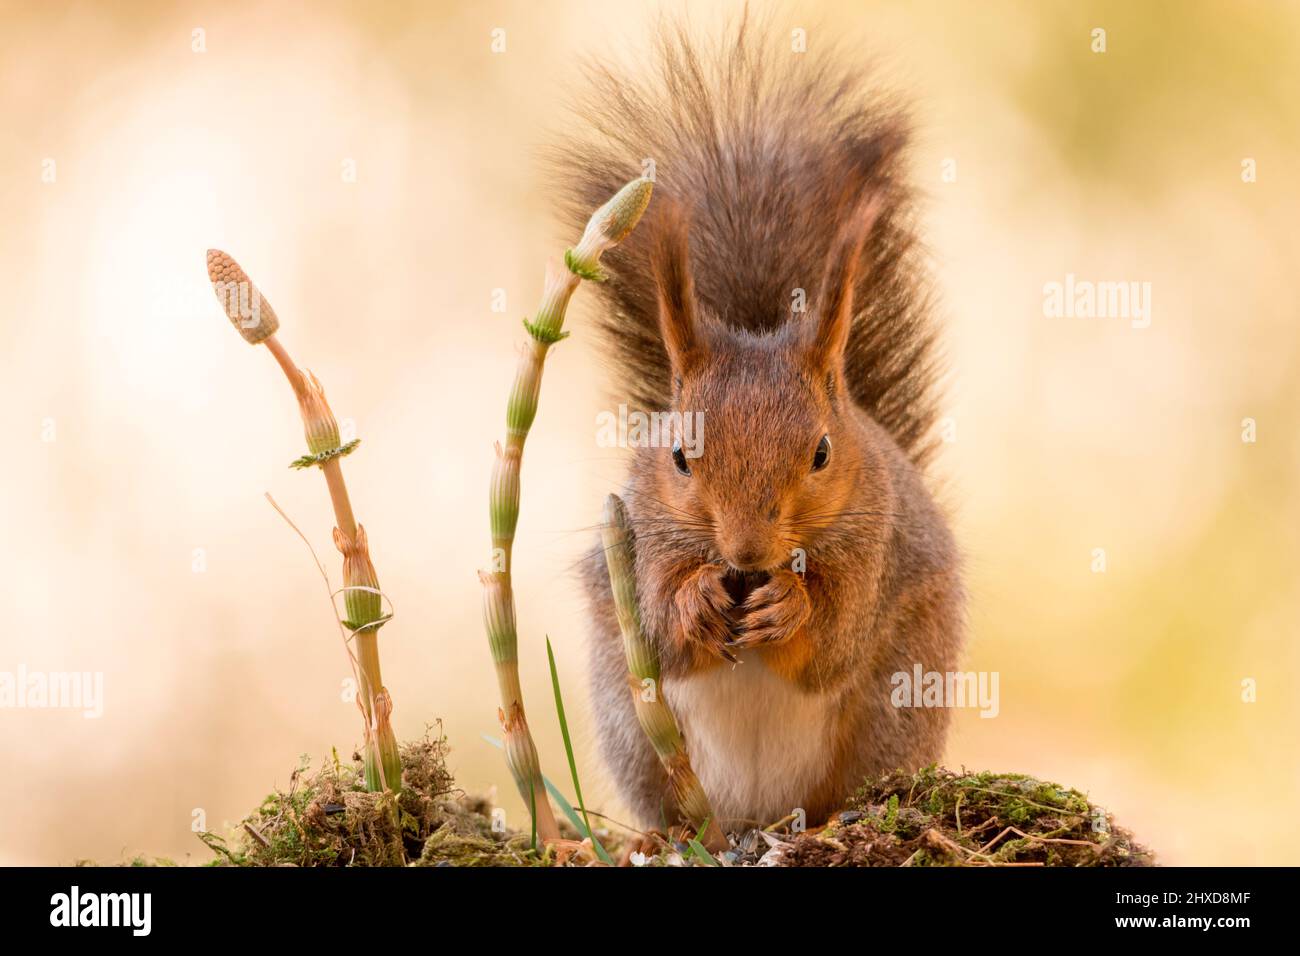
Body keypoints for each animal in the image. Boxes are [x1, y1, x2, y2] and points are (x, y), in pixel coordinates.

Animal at [561, 18, 965, 832]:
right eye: (679, 456)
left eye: (822, 453)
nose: (745, 552)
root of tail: (759, 816)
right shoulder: (642, 538)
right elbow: (661, 633)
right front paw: (697, 601)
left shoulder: (873, 549)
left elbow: (830, 644)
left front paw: (790, 606)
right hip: (629, 720)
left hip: (895, 708)